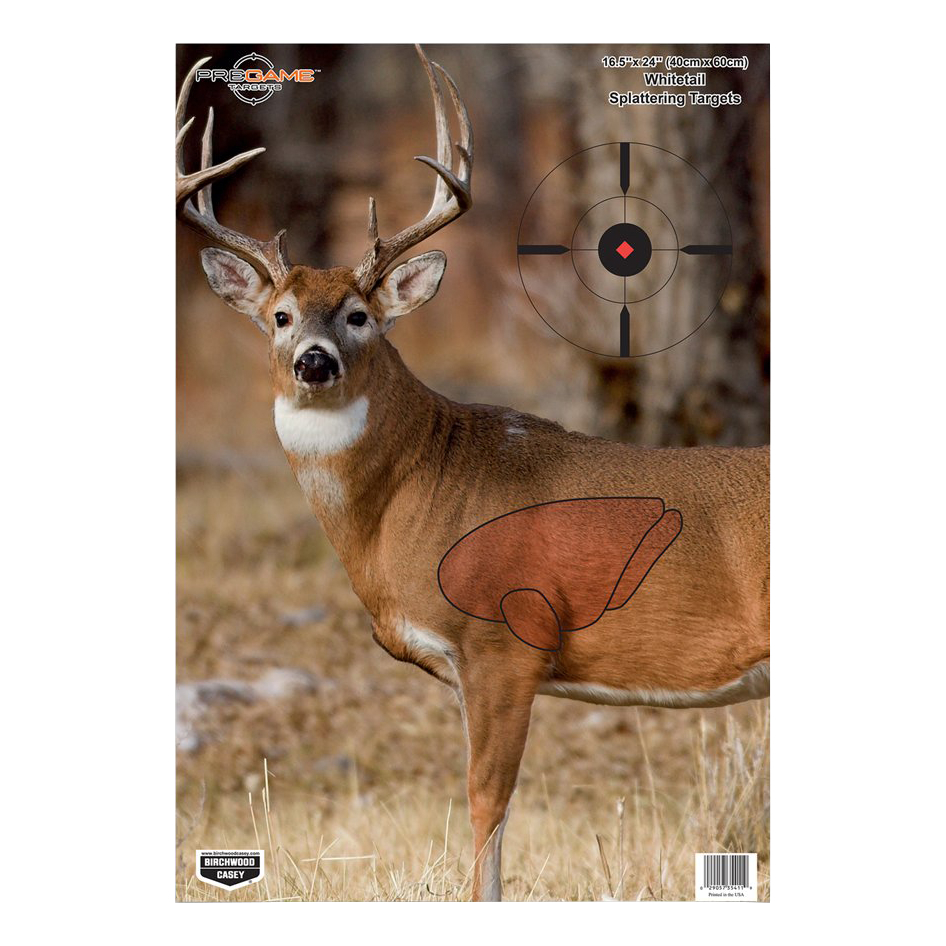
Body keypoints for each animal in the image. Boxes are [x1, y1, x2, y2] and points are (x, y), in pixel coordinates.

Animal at [176, 45, 769, 902]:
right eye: (280, 316)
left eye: (358, 315)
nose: (313, 362)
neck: (416, 495)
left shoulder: (503, 641)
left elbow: (487, 804)